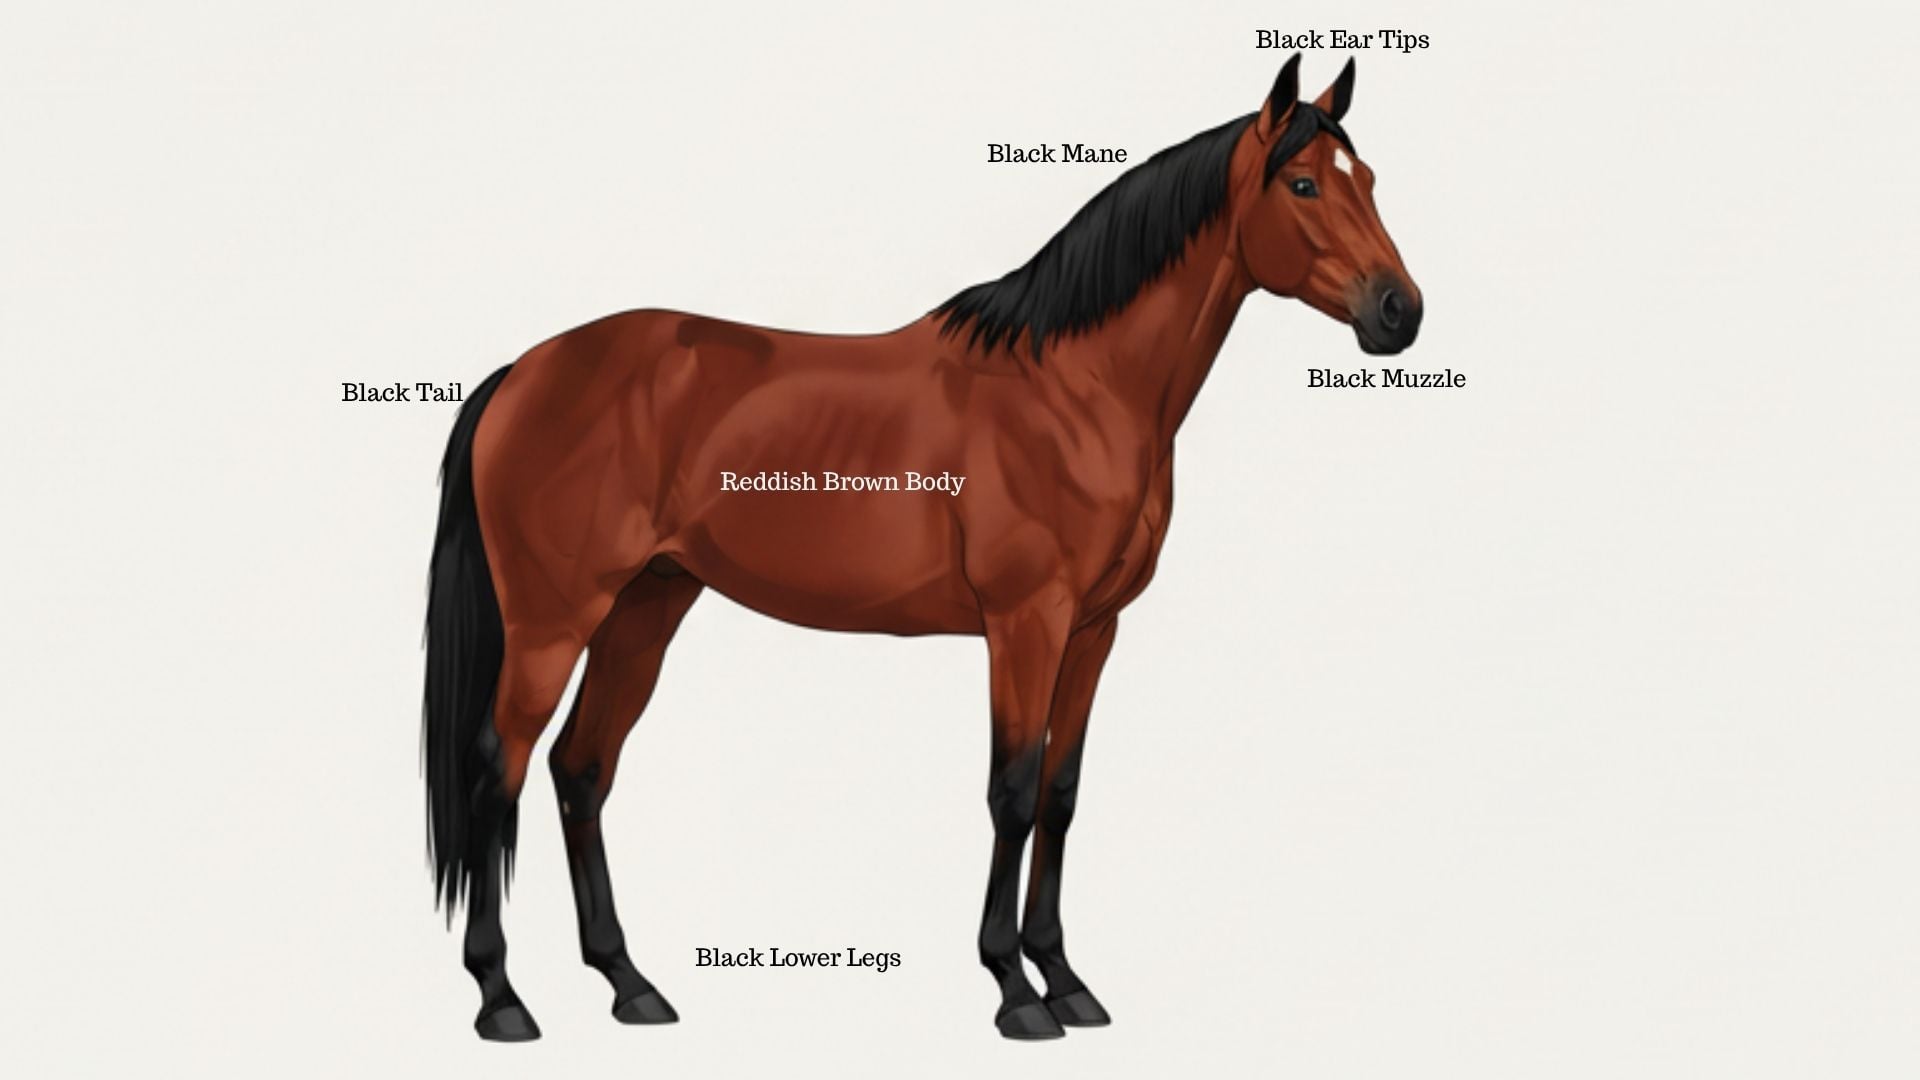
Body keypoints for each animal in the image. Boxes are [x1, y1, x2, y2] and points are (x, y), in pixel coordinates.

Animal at [422, 53, 1421, 1042]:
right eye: (1302, 184)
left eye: (1367, 179)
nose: (1399, 312)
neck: (1077, 389)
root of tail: (525, 371)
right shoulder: (1026, 623)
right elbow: (1012, 790)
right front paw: (1015, 992)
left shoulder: (1092, 631)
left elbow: (1061, 794)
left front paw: (1067, 981)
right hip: (554, 621)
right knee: (497, 771)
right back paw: (502, 999)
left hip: (647, 604)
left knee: (580, 770)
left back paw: (630, 984)